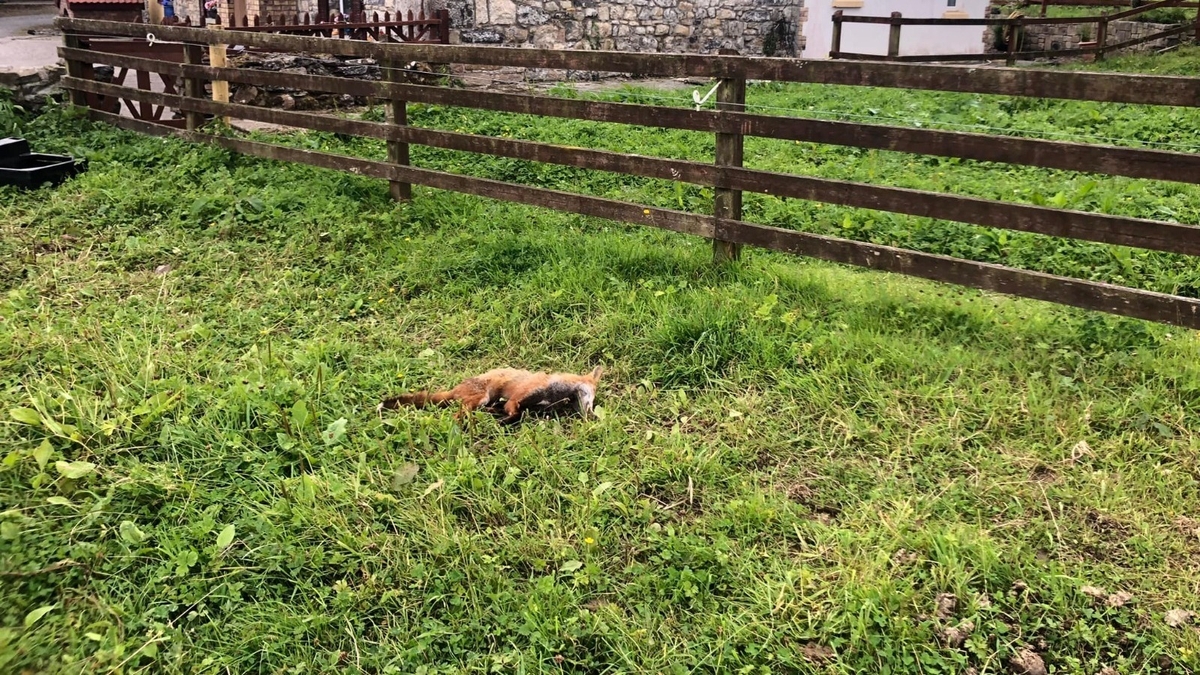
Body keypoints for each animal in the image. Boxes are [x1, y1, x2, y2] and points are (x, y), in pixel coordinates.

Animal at [379, 366, 604, 425]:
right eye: (591, 397)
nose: (592, 415)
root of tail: (456, 388)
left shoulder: (532, 404)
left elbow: (519, 413)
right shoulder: (518, 397)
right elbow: (515, 412)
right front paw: (505, 421)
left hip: (484, 401)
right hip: (481, 398)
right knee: (459, 413)